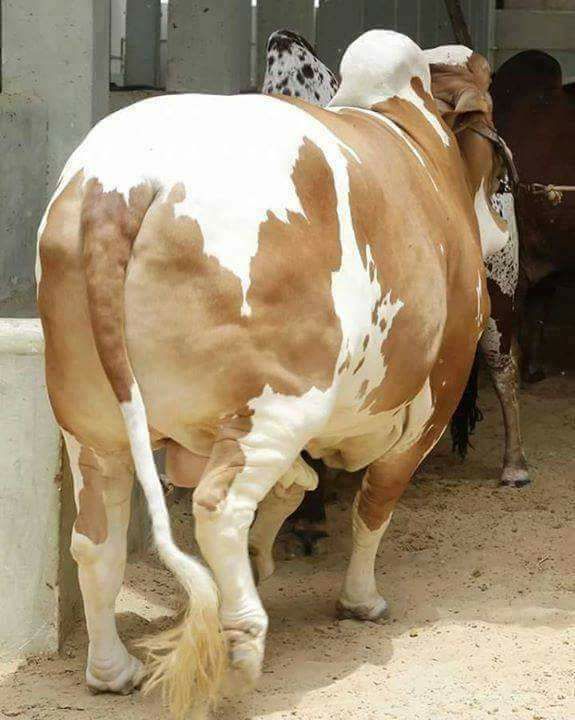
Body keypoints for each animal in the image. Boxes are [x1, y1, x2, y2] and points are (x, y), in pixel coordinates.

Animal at [37, 30, 508, 719]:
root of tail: (120, 183)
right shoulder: (434, 397)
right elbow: (374, 503)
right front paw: (360, 599)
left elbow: (299, 486)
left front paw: (266, 559)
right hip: (278, 403)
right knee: (217, 509)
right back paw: (242, 645)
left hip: (91, 422)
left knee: (95, 539)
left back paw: (112, 668)